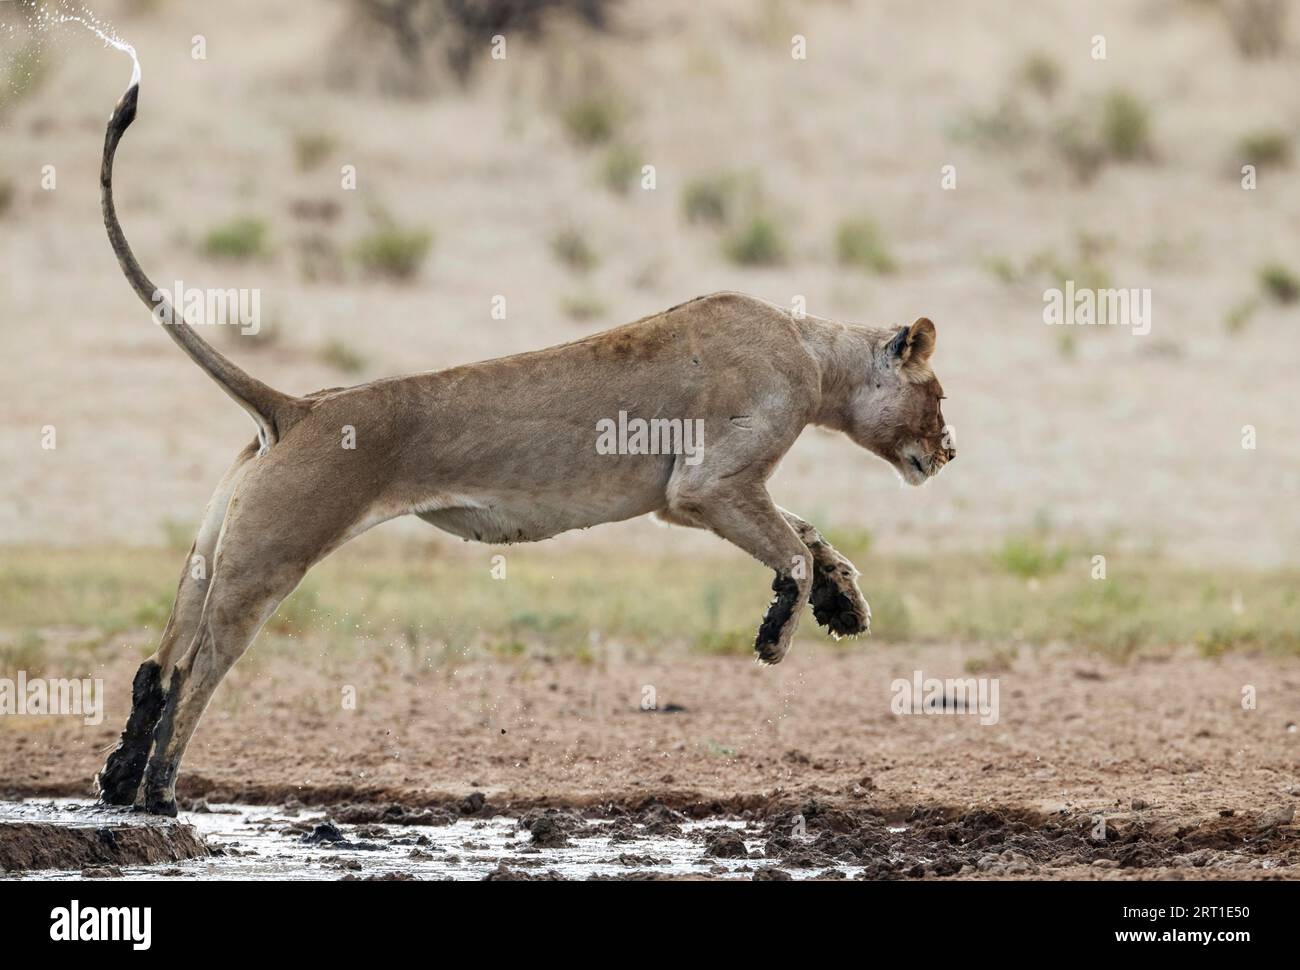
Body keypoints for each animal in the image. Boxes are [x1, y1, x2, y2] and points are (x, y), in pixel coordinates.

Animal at [93, 83, 955, 815]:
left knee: (158, 661)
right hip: (272, 552)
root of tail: (299, 408)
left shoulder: (694, 501)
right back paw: (159, 796)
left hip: (214, 550)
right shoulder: (706, 485)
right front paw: (779, 634)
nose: (949, 452)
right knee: (197, 670)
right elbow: (793, 550)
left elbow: (808, 533)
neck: (815, 354)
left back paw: (117, 785)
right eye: (940, 396)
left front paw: (844, 602)